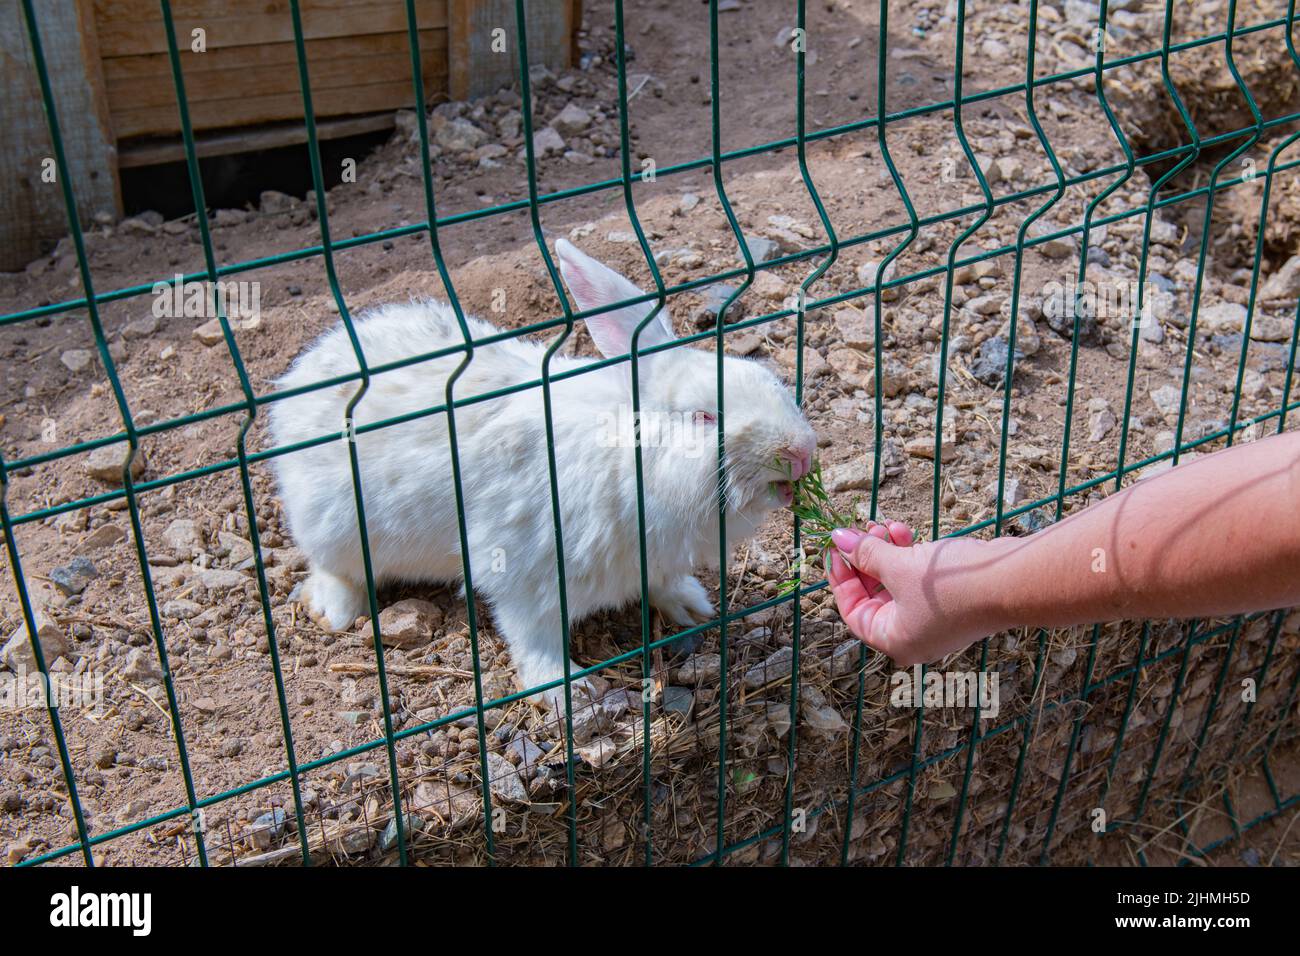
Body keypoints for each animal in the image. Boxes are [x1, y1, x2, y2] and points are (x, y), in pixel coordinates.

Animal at [268, 239, 816, 716]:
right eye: (702, 416)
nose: (801, 451)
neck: (632, 461)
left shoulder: (653, 561)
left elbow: (663, 585)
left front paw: (693, 607)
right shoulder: (523, 576)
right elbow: (534, 637)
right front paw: (569, 692)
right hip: (335, 528)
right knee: (334, 568)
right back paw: (335, 611)